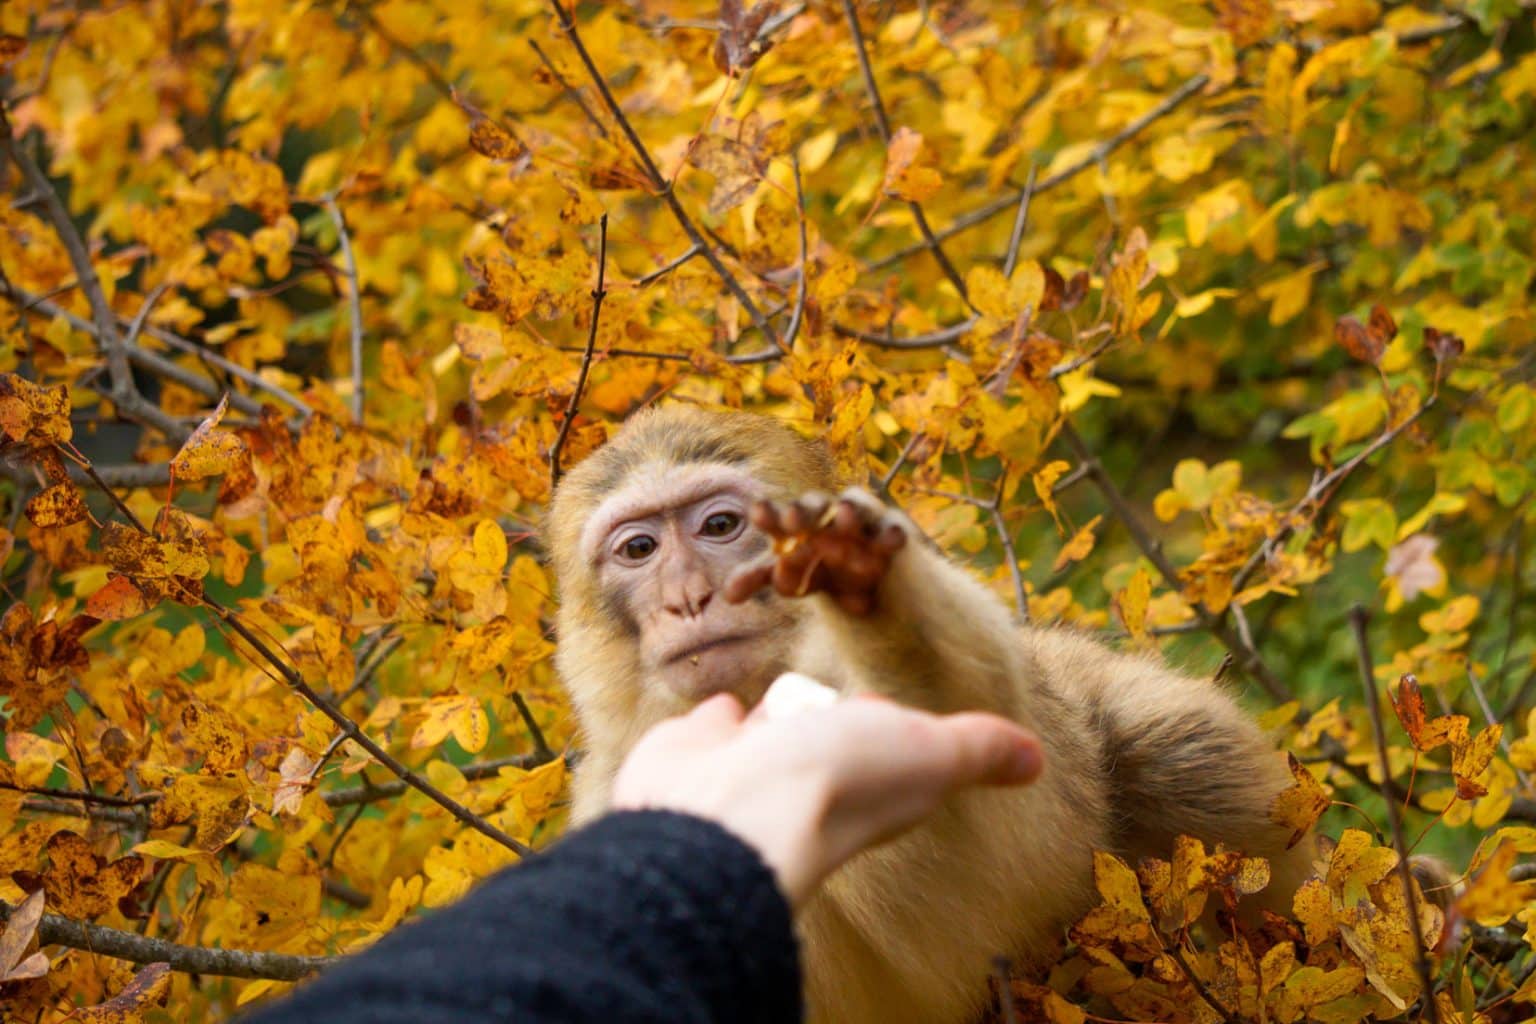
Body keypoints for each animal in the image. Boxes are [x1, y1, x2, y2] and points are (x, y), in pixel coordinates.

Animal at [545, 405, 1318, 1024]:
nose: (686, 598)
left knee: (1175, 745)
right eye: (639, 549)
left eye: (721, 526)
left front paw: (869, 592)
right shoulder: (614, 793)